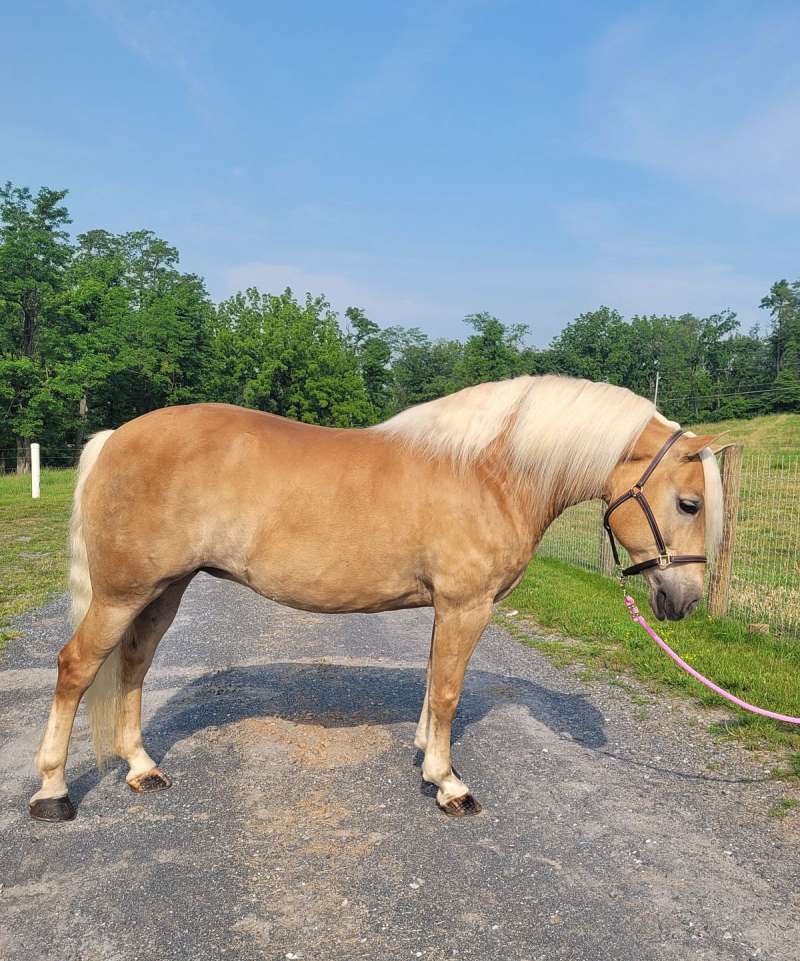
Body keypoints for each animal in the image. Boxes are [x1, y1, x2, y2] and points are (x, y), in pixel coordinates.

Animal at [29, 374, 724, 822]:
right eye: (689, 503)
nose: (683, 600)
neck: (490, 473)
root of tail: (115, 436)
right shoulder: (467, 605)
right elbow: (448, 690)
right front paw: (448, 785)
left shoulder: (447, 608)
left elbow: (434, 683)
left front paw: (427, 758)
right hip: (123, 593)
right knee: (76, 668)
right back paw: (53, 794)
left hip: (162, 592)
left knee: (133, 667)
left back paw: (141, 768)